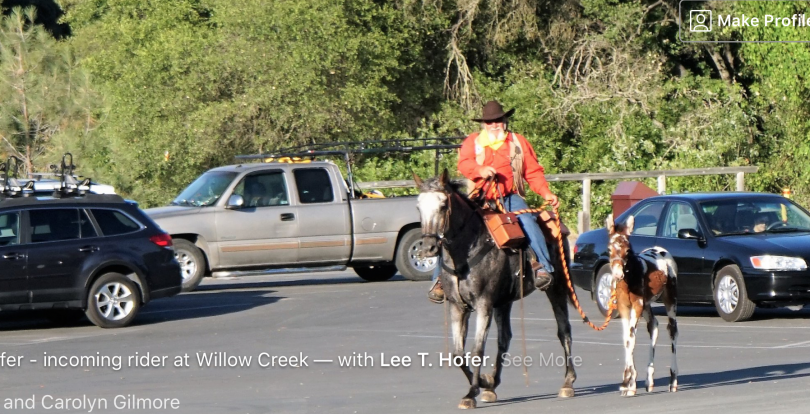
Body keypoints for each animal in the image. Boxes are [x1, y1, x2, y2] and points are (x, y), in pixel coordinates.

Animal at [414, 170, 576, 409]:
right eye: (419, 206)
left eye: (443, 205)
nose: (428, 247)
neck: (467, 250)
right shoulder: (458, 306)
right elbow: (458, 353)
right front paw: (483, 381)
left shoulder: (484, 305)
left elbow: (477, 350)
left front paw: (471, 392)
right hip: (504, 301)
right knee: (504, 338)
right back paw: (491, 385)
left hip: (556, 288)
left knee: (563, 329)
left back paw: (568, 382)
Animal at [606, 214, 678, 396]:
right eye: (609, 250)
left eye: (627, 250)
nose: (617, 274)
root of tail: (662, 250)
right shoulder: (624, 307)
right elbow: (626, 338)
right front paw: (629, 383)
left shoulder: (637, 304)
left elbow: (631, 338)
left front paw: (627, 382)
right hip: (646, 304)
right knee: (654, 324)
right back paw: (649, 381)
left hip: (670, 298)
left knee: (672, 330)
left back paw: (673, 381)